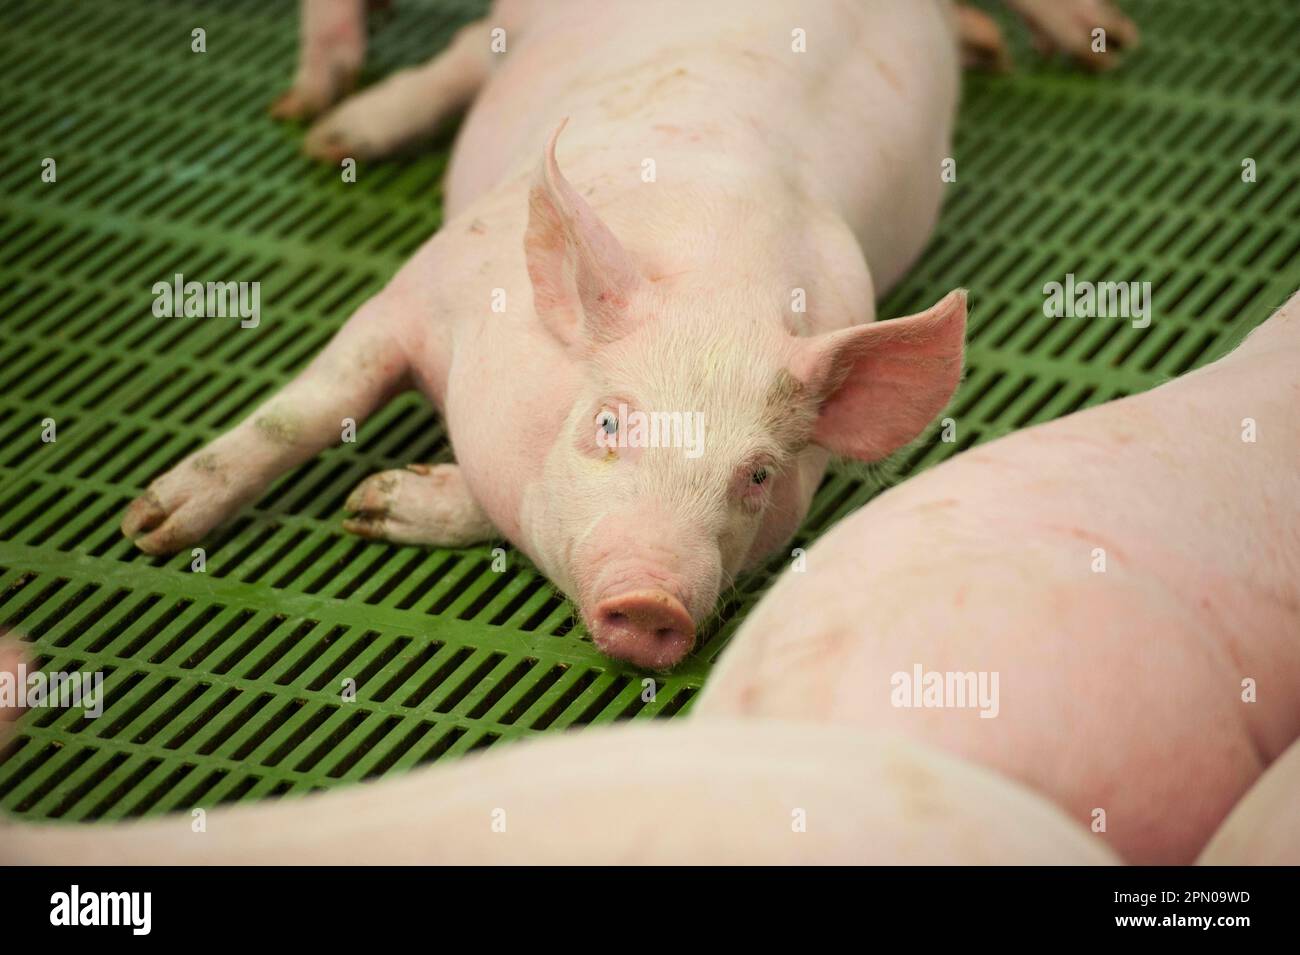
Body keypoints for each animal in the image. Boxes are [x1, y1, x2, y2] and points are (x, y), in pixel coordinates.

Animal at [123, 0, 976, 670]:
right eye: (608, 423)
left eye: (760, 474)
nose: (654, 598)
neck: (720, 280)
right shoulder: (420, 287)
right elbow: (309, 408)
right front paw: (152, 525)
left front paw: (375, 503)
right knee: (472, 44)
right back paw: (328, 129)